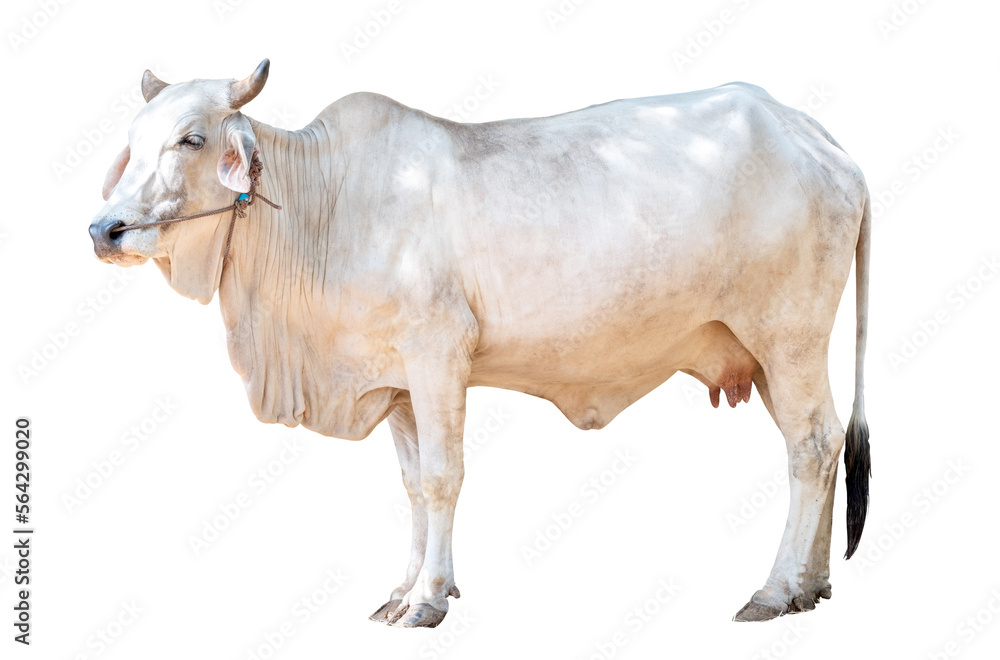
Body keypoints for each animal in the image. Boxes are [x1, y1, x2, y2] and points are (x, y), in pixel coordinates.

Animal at [89, 60, 872, 628]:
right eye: (135, 137)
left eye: (191, 138)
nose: (105, 229)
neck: (326, 206)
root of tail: (814, 135)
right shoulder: (397, 382)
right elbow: (411, 485)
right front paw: (401, 591)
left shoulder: (438, 355)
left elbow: (442, 476)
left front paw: (430, 599)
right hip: (764, 353)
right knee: (823, 443)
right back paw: (814, 585)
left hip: (789, 336)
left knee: (811, 446)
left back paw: (775, 590)